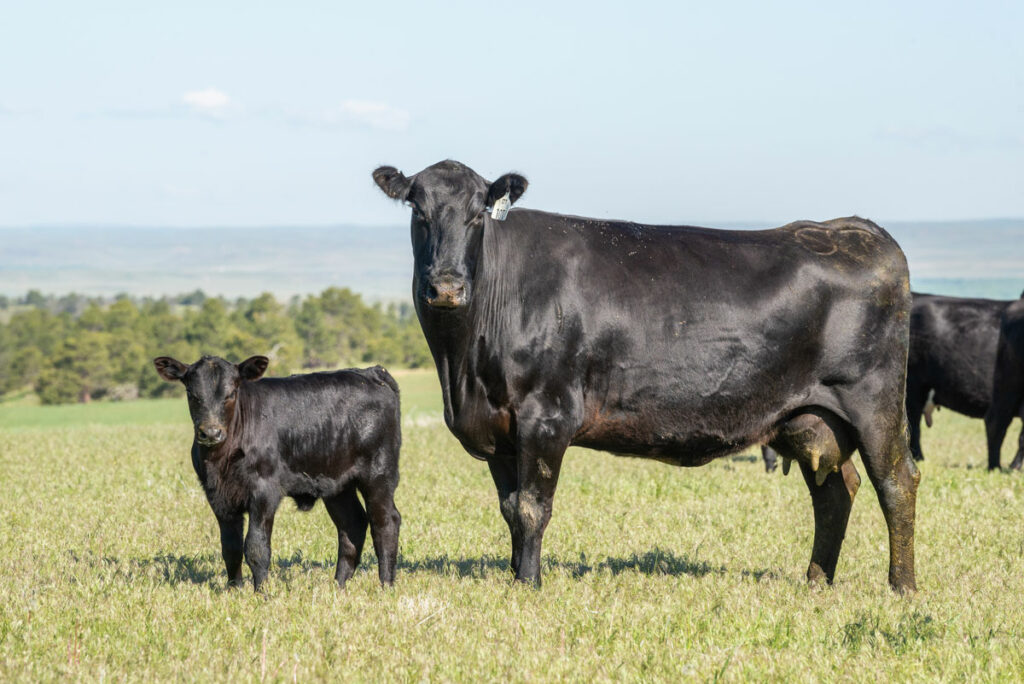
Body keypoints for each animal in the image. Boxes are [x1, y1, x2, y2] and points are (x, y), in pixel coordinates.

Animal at [153, 355, 402, 592]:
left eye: (231, 393)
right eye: (191, 393)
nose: (212, 432)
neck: (222, 459)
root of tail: (371, 372)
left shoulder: (265, 491)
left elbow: (256, 547)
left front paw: (261, 593)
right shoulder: (218, 496)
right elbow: (230, 548)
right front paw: (234, 590)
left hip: (378, 474)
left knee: (385, 522)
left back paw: (386, 586)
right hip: (336, 484)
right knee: (352, 525)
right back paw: (338, 587)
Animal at [373, 159, 920, 593]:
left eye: (477, 214)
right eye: (419, 212)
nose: (446, 286)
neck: (461, 369)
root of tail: (851, 229)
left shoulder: (544, 416)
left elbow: (532, 507)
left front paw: (528, 584)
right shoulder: (500, 429)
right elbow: (510, 509)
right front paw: (514, 576)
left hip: (875, 403)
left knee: (896, 481)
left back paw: (902, 587)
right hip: (809, 417)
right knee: (834, 491)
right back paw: (817, 581)